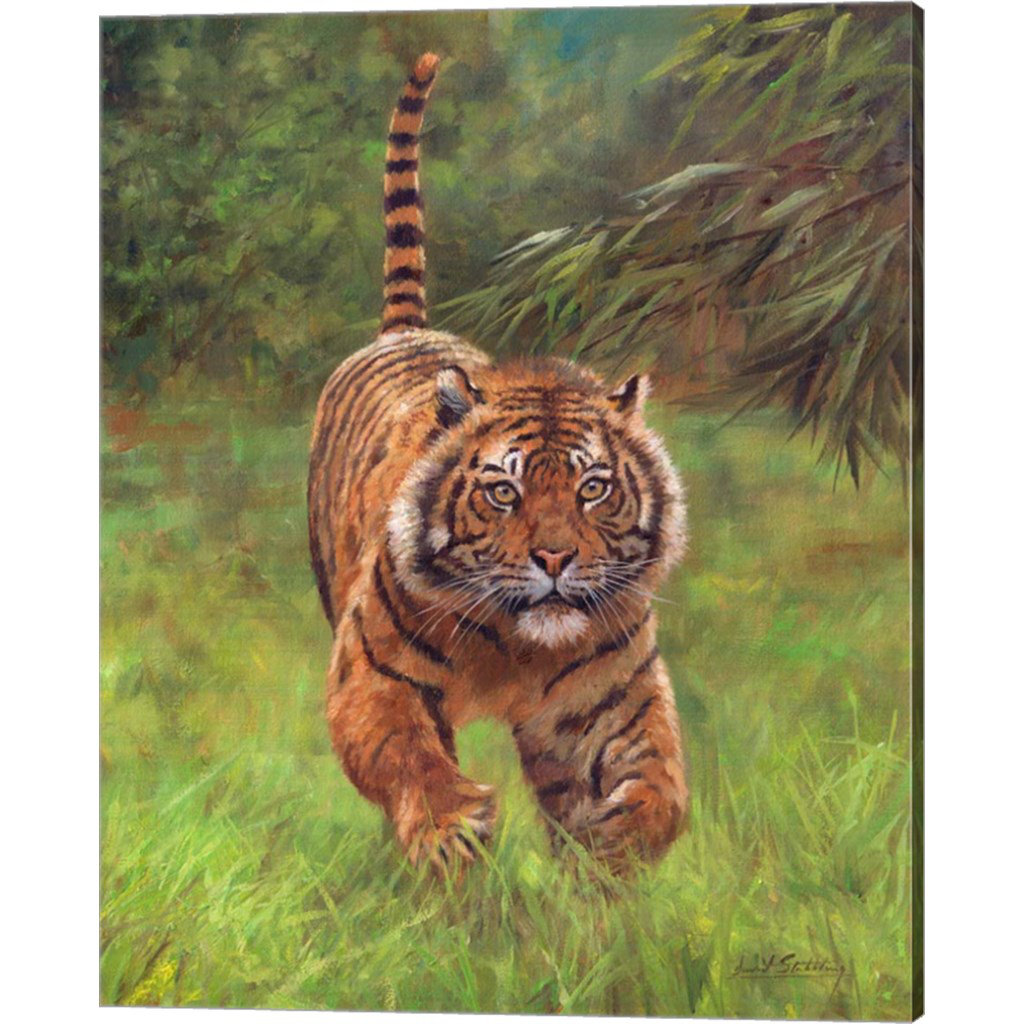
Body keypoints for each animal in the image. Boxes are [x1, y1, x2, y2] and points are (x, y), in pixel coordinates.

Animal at [308, 53, 690, 874]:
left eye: (593, 487)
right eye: (504, 491)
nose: (554, 558)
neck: (513, 649)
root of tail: (405, 329)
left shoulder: (614, 696)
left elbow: (660, 779)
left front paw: (620, 842)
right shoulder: (371, 675)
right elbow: (407, 754)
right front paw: (453, 827)